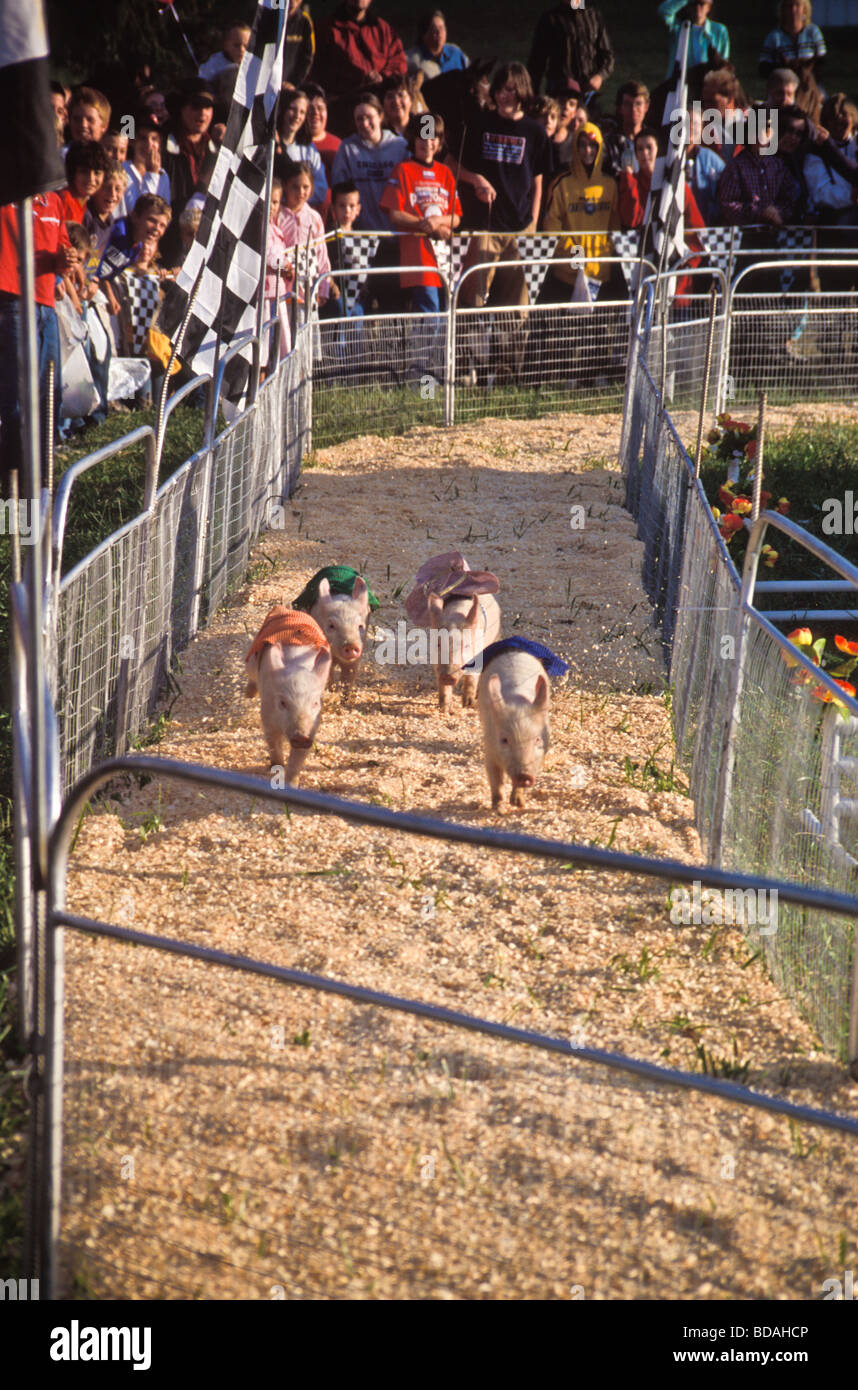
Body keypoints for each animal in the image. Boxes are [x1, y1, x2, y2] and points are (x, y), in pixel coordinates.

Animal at [245, 608, 332, 784]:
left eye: (315, 703)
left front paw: (291, 783)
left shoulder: (313, 726)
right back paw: (248, 694)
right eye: (283, 703)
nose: (301, 737)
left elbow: (298, 759)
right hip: (251, 659)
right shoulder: (267, 715)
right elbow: (274, 745)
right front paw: (277, 769)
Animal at [477, 649, 551, 810]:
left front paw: (518, 804)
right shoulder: (490, 748)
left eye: (537, 739)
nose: (524, 775)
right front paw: (498, 808)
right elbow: (496, 779)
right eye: (504, 740)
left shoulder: (538, 758)